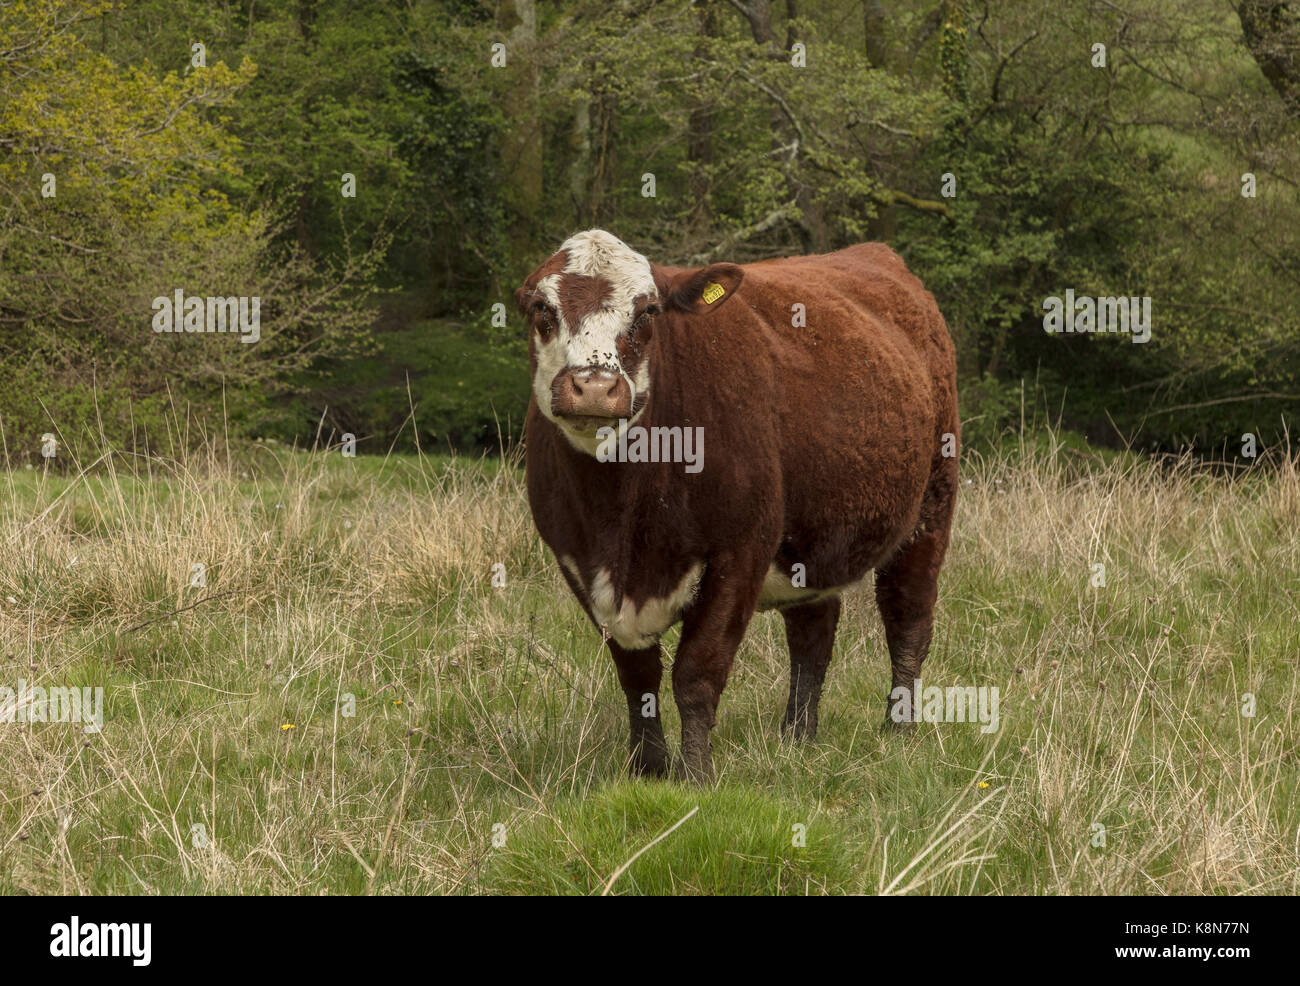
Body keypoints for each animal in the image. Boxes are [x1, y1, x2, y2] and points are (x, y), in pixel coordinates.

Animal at [517, 229, 958, 783]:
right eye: (541, 307)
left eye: (649, 311)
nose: (595, 386)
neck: (619, 520)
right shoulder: (577, 562)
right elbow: (636, 674)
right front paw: (649, 768)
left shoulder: (741, 549)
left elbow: (697, 671)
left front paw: (696, 776)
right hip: (813, 538)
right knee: (813, 632)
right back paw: (797, 736)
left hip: (932, 507)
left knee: (908, 618)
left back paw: (899, 728)